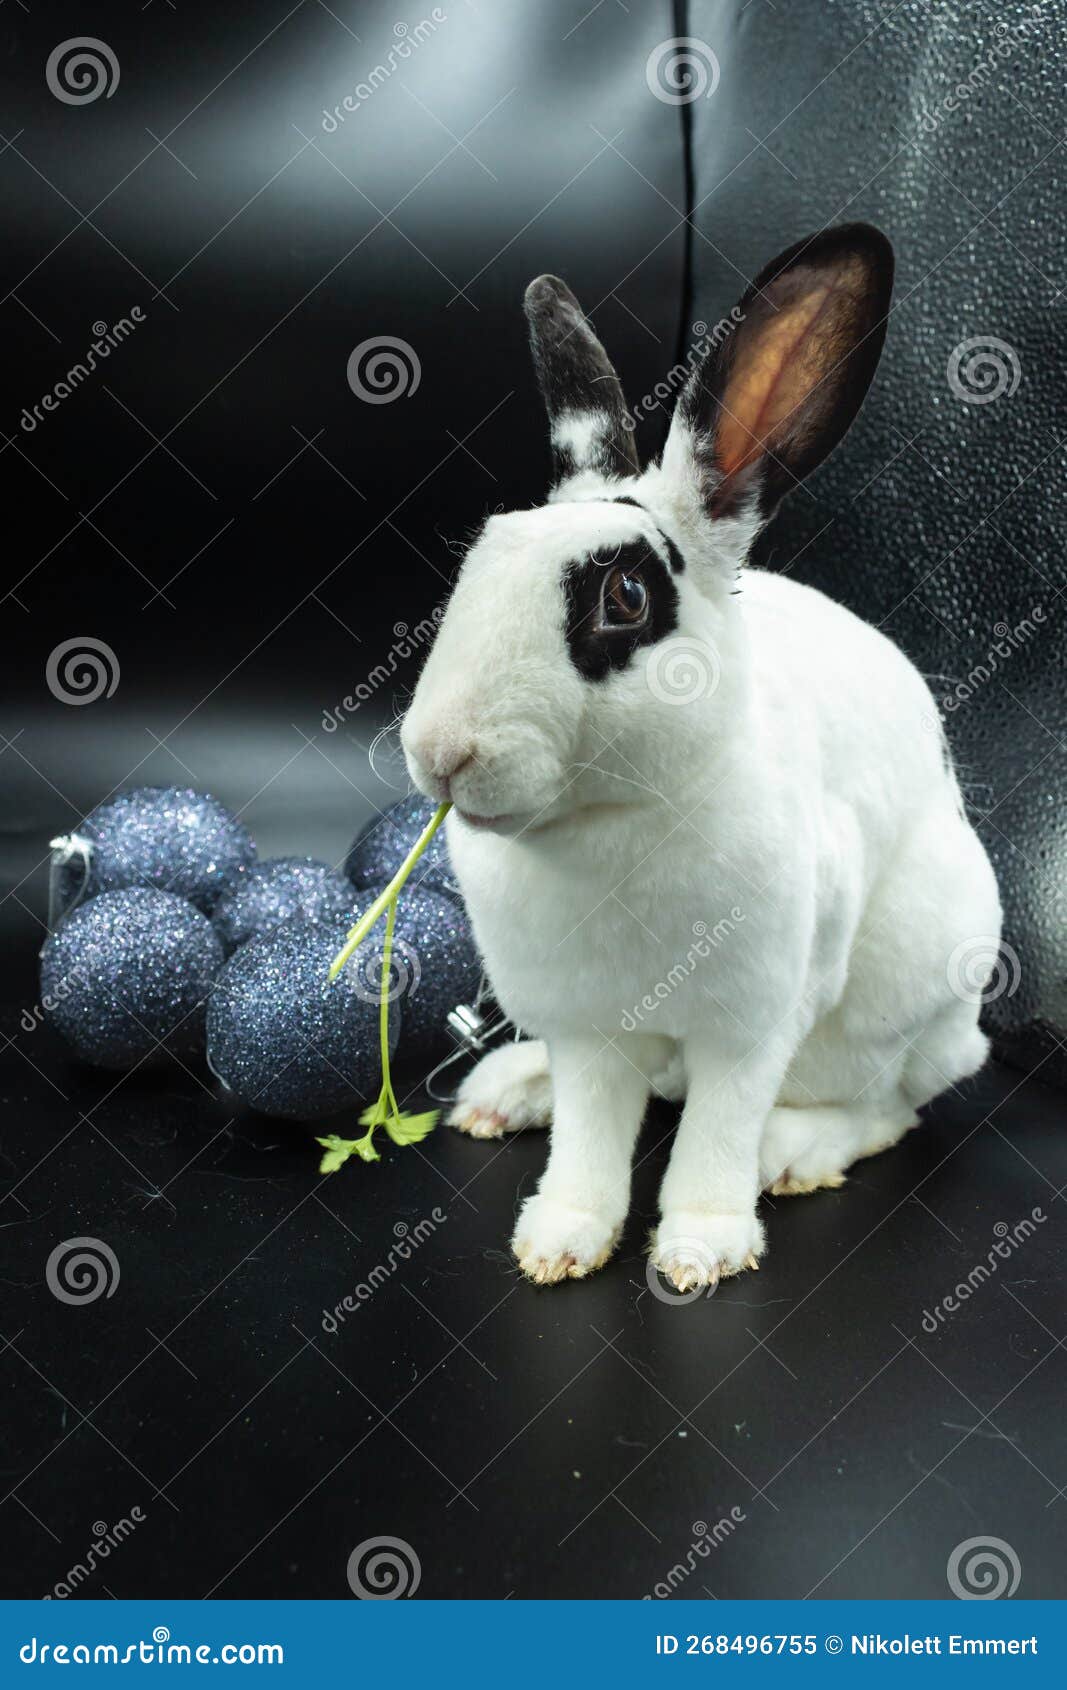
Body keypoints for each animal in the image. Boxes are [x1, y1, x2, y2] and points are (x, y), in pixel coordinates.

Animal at [401, 223, 1001, 1292]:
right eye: (481, 556)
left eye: (626, 598)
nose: (441, 753)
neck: (610, 820)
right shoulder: (588, 1025)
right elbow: (594, 1129)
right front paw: (559, 1240)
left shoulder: (750, 1023)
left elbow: (717, 1132)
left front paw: (696, 1253)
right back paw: (506, 1090)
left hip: (908, 990)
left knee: (890, 1105)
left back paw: (794, 1155)